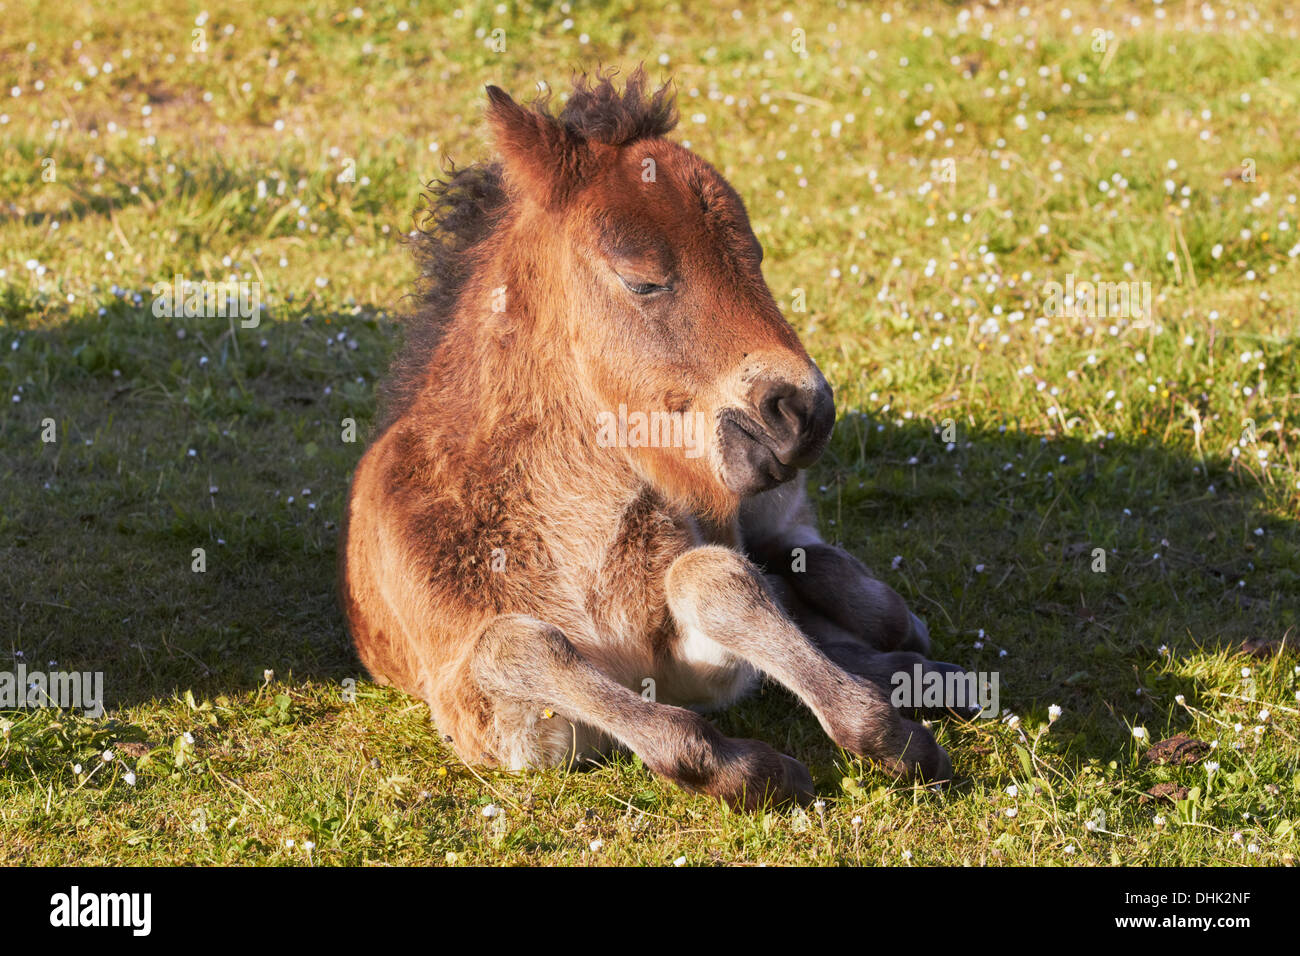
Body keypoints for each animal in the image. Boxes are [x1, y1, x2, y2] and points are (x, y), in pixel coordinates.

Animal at [340, 69, 970, 808]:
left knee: (829, 578)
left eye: (754, 257)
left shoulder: (706, 662)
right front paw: (747, 767)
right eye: (642, 280)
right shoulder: (510, 729)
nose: (804, 411)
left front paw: (887, 733)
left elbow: (713, 578)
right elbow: (519, 646)